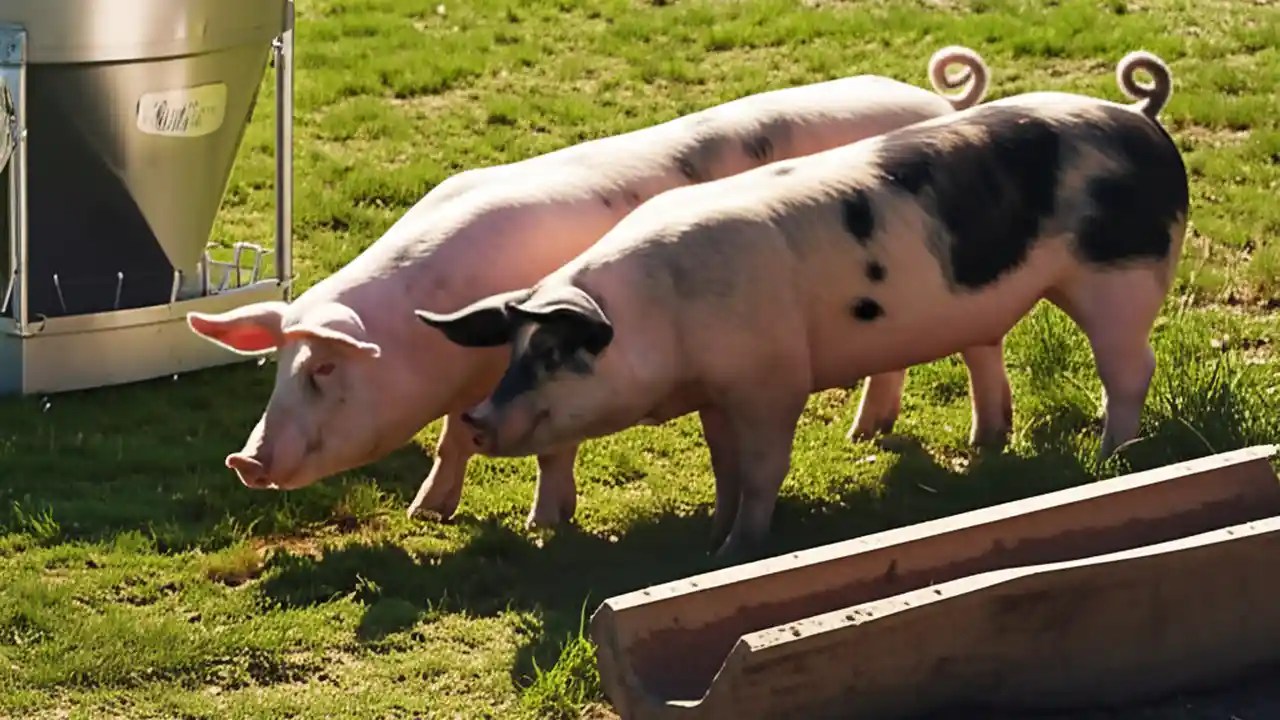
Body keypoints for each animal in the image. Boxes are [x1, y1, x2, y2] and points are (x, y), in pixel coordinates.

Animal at [186, 45, 1001, 530]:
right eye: (276, 368)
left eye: (324, 368)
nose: (244, 461)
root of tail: (940, 104)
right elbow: (452, 439)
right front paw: (427, 515)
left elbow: (536, 446)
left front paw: (542, 524)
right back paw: (864, 435)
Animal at [415, 51, 1187, 560]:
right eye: (512, 352)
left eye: (554, 351)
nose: (477, 418)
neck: (661, 311)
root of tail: (1139, 118)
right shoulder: (718, 392)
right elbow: (724, 465)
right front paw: (712, 534)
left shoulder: (771, 381)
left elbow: (762, 469)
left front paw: (737, 548)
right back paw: (986, 449)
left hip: (1120, 278)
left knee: (1131, 369)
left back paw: (1107, 457)